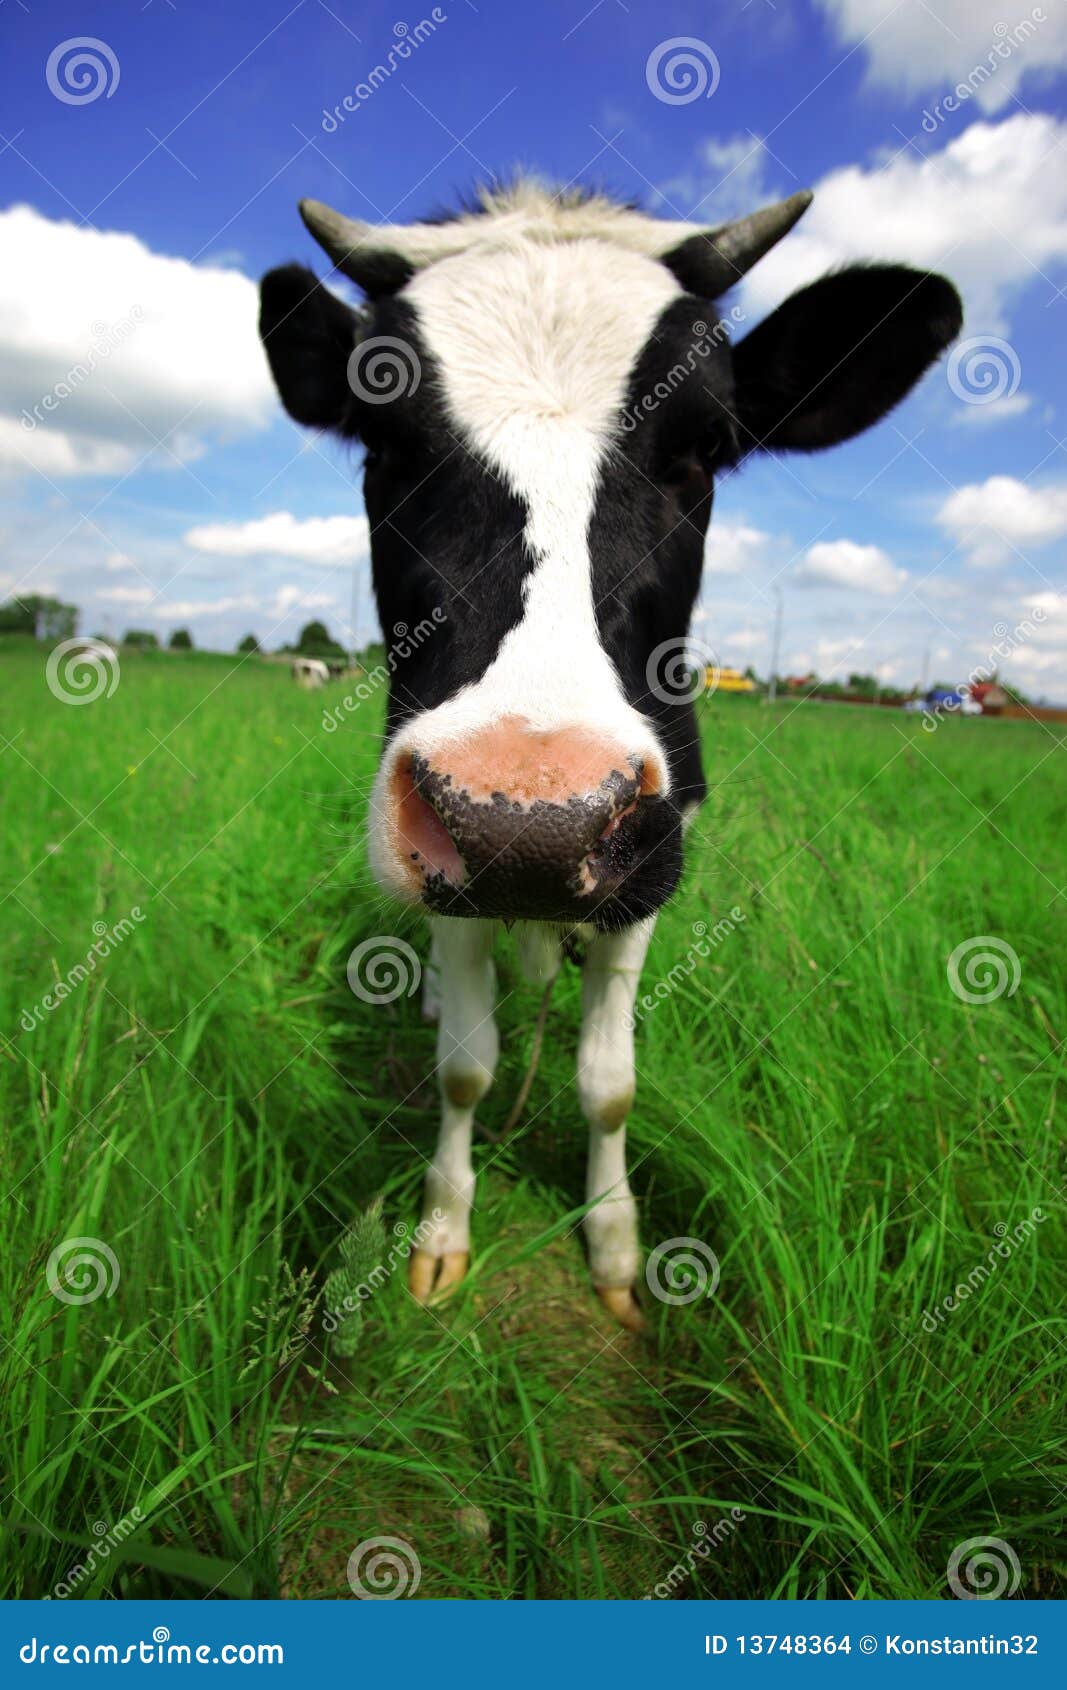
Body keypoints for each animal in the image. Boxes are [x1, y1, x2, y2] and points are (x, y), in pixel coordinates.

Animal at [259, 180, 961, 1329]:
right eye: (382, 441)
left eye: (703, 446)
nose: (527, 819)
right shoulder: (457, 888)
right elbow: (465, 1068)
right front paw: (441, 1231)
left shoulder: (646, 871)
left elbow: (608, 1082)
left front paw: (615, 1246)